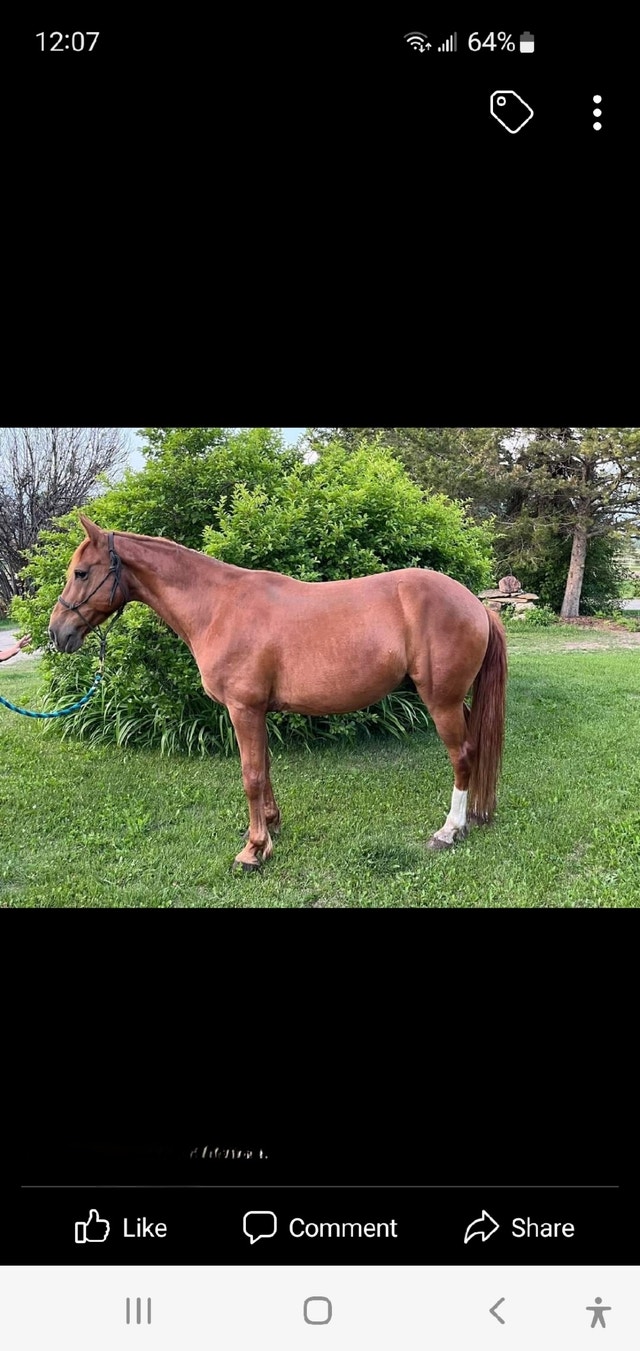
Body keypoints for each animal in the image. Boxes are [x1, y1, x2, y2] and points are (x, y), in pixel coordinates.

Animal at [48, 516, 507, 871]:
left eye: (81, 572)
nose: (57, 633)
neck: (219, 607)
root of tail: (475, 604)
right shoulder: (257, 712)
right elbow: (265, 768)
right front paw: (271, 826)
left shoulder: (243, 709)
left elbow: (251, 775)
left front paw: (253, 851)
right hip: (457, 702)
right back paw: (473, 817)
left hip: (442, 702)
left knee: (462, 755)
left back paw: (449, 830)